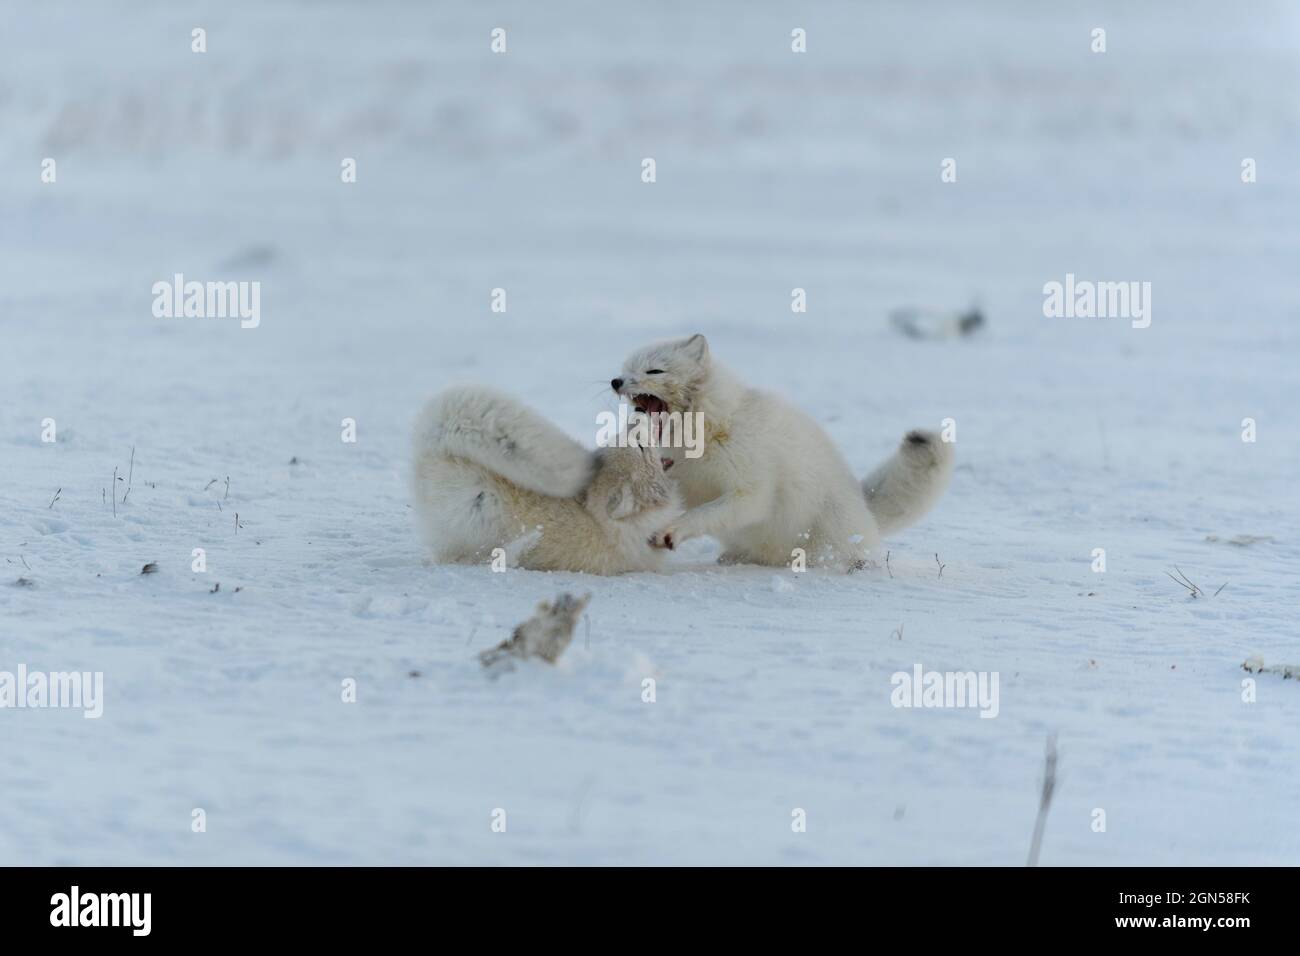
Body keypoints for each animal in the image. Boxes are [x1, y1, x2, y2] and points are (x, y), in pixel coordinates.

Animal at [609, 334, 954, 570]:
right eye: (627, 369)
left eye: (655, 371)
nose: (615, 381)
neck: (712, 429)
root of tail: (864, 509)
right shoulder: (682, 477)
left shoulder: (751, 491)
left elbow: (704, 514)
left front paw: (673, 531)